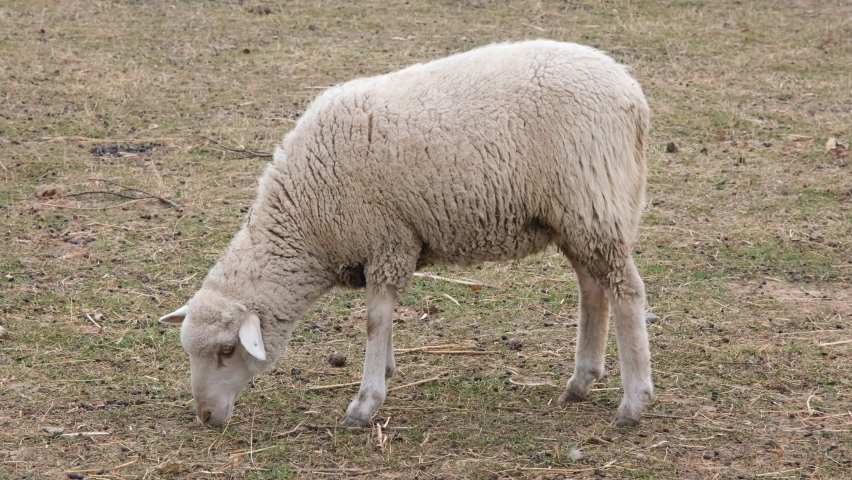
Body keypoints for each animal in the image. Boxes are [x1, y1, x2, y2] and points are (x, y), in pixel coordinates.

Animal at [160, 39, 652, 428]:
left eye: (227, 351)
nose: (205, 417)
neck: (306, 223)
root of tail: (631, 93)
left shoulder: (387, 240)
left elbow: (374, 320)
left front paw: (365, 403)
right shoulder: (388, 247)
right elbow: (384, 317)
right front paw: (386, 369)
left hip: (593, 201)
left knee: (626, 291)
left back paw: (633, 403)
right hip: (573, 215)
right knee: (593, 288)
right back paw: (580, 382)